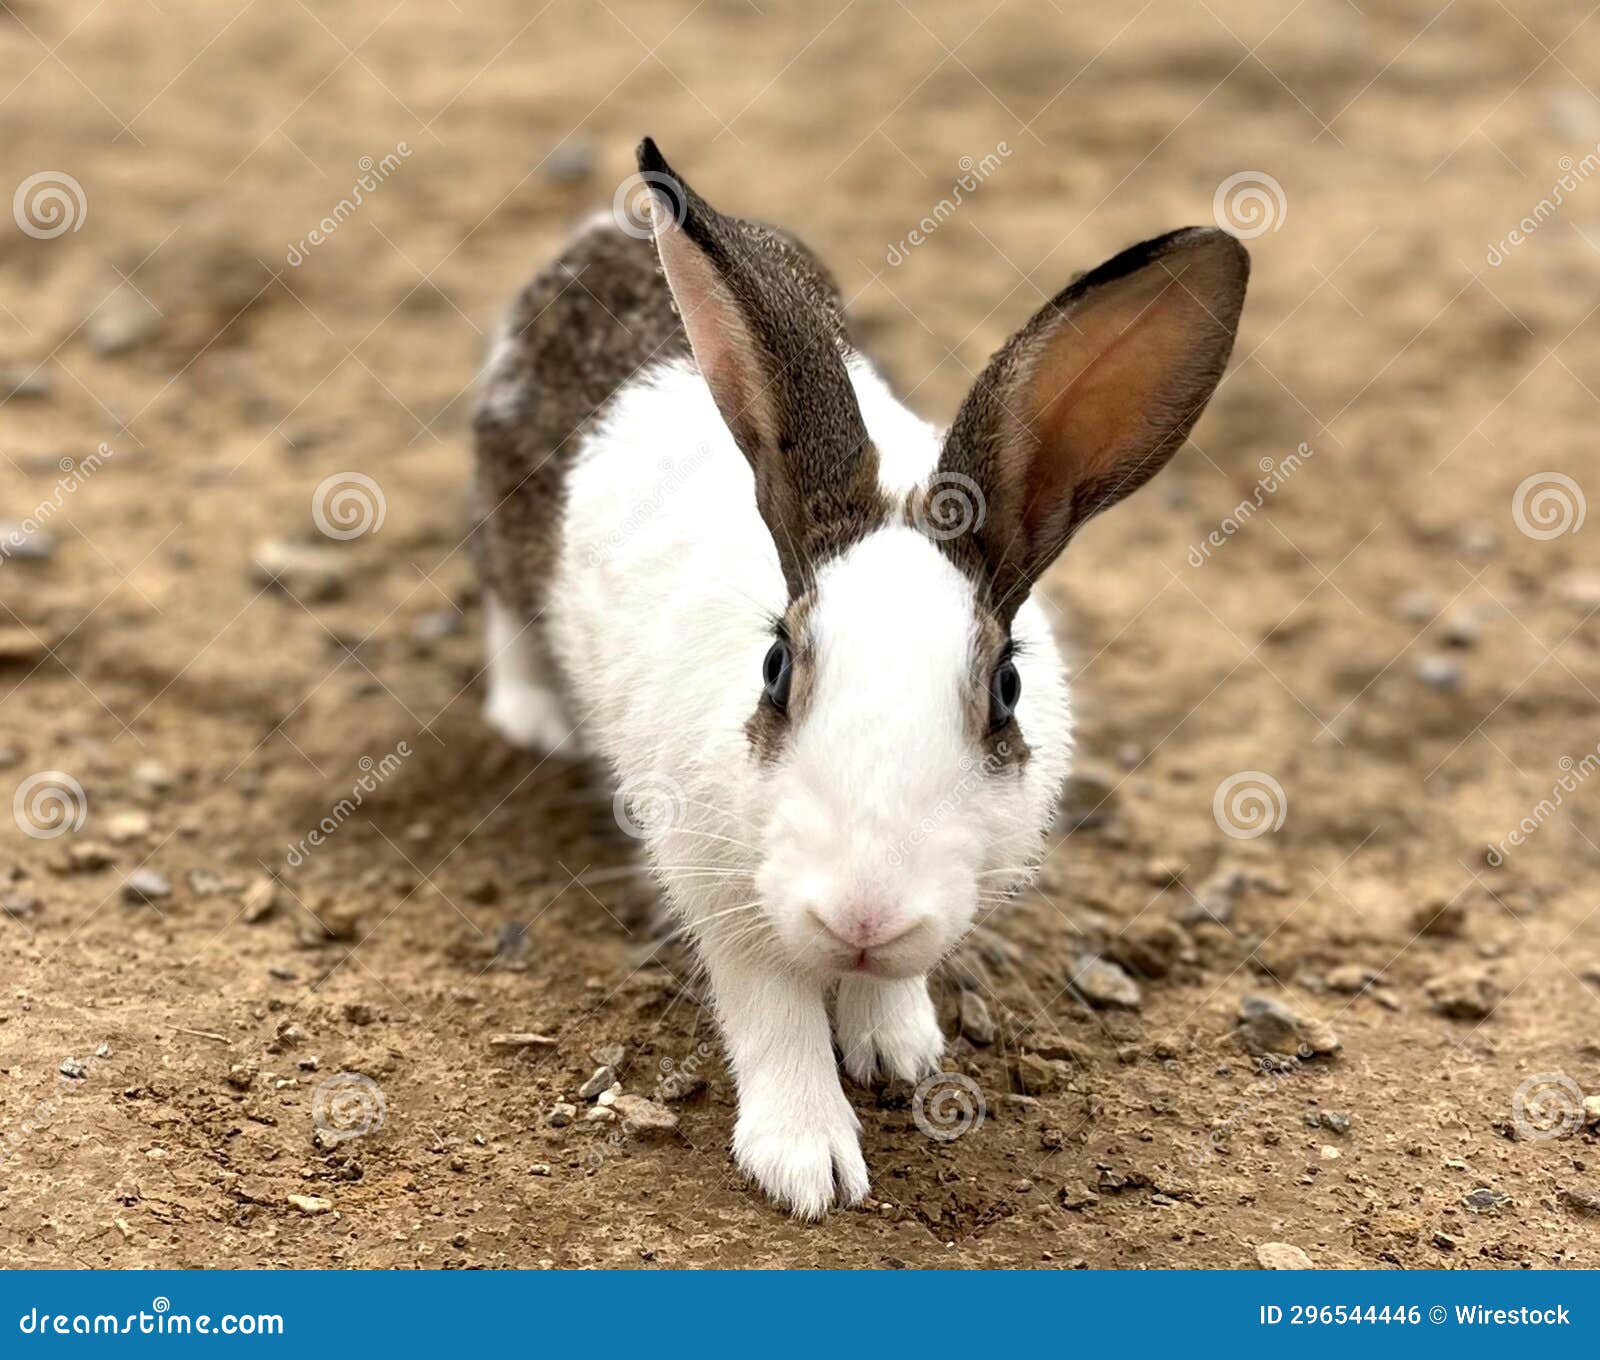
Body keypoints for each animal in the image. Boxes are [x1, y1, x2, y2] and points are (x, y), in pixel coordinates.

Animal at [470, 137, 1248, 1217]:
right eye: (775, 667)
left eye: (1006, 691)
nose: (864, 916)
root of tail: (599, 234)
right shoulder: (721, 886)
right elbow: (773, 1009)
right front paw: (808, 1162)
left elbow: (883, 990)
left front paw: (899, 1048)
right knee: (505, 610)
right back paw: (531, 718)